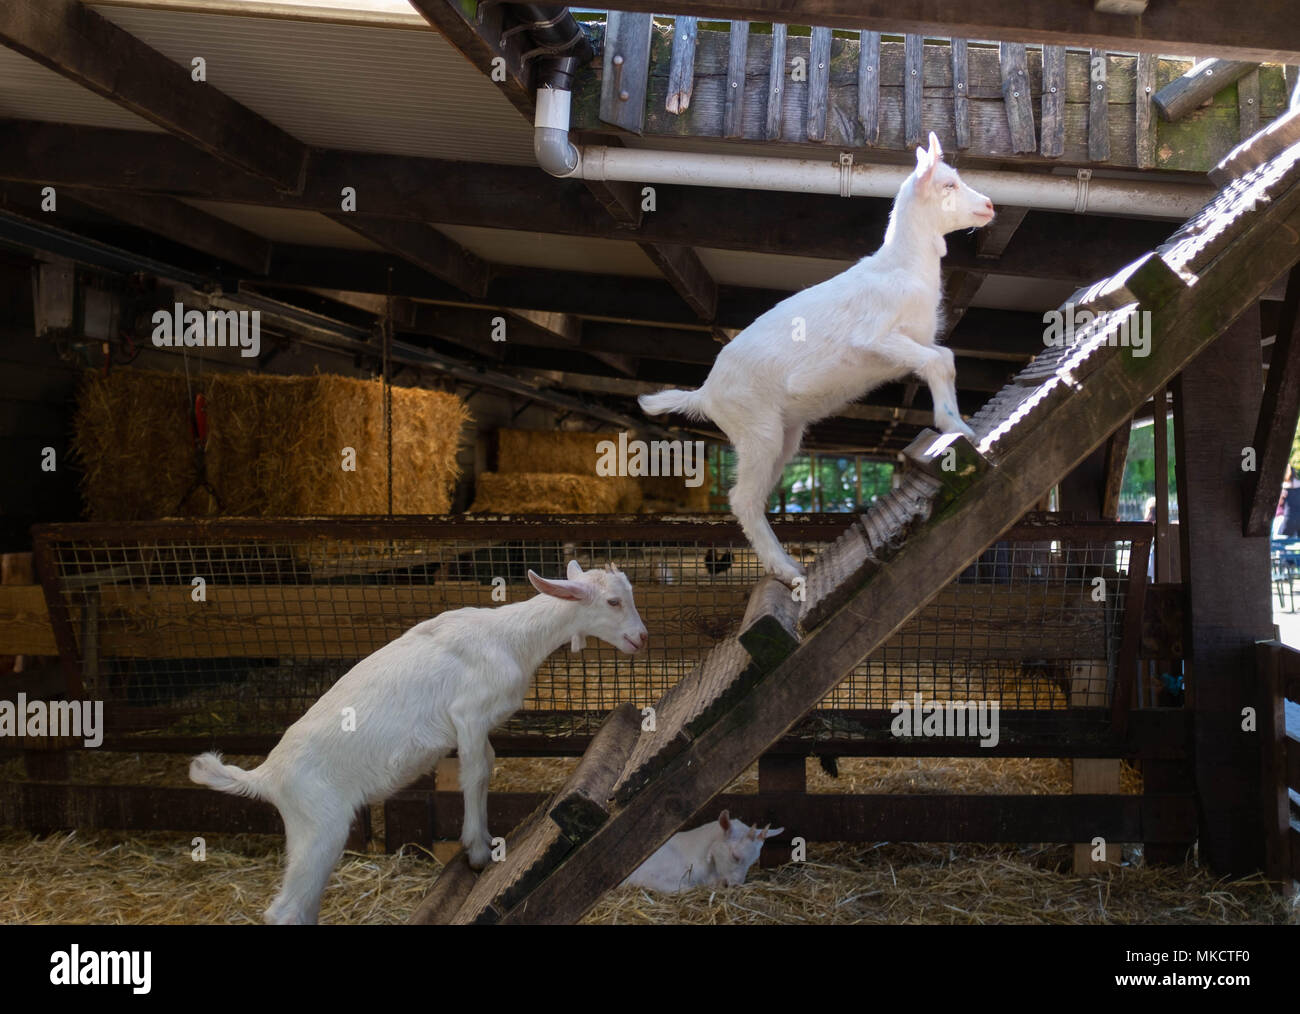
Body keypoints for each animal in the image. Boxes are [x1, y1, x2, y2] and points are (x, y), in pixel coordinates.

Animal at [189, 561, 648, 925]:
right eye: (613, 602)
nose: (642, 638)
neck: (509, 637)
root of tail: (266, 776)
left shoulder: (478, 726)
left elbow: (487, 765)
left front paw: (482, 841)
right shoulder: (468, 714)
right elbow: (474, 773)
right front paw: (477, 851)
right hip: (319, 824)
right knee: (285, 910)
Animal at [640, 132, 994, 584]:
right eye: (948, 184)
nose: (989, 205)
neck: (903, 268)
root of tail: (704, 394)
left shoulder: (913, 342)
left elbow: (944, 357)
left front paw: (957, 424)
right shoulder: (875, 337)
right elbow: (937, 362)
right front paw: (956, 427)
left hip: (782, 435)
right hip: (756, 430)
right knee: (741, 498)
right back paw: (787, 569)